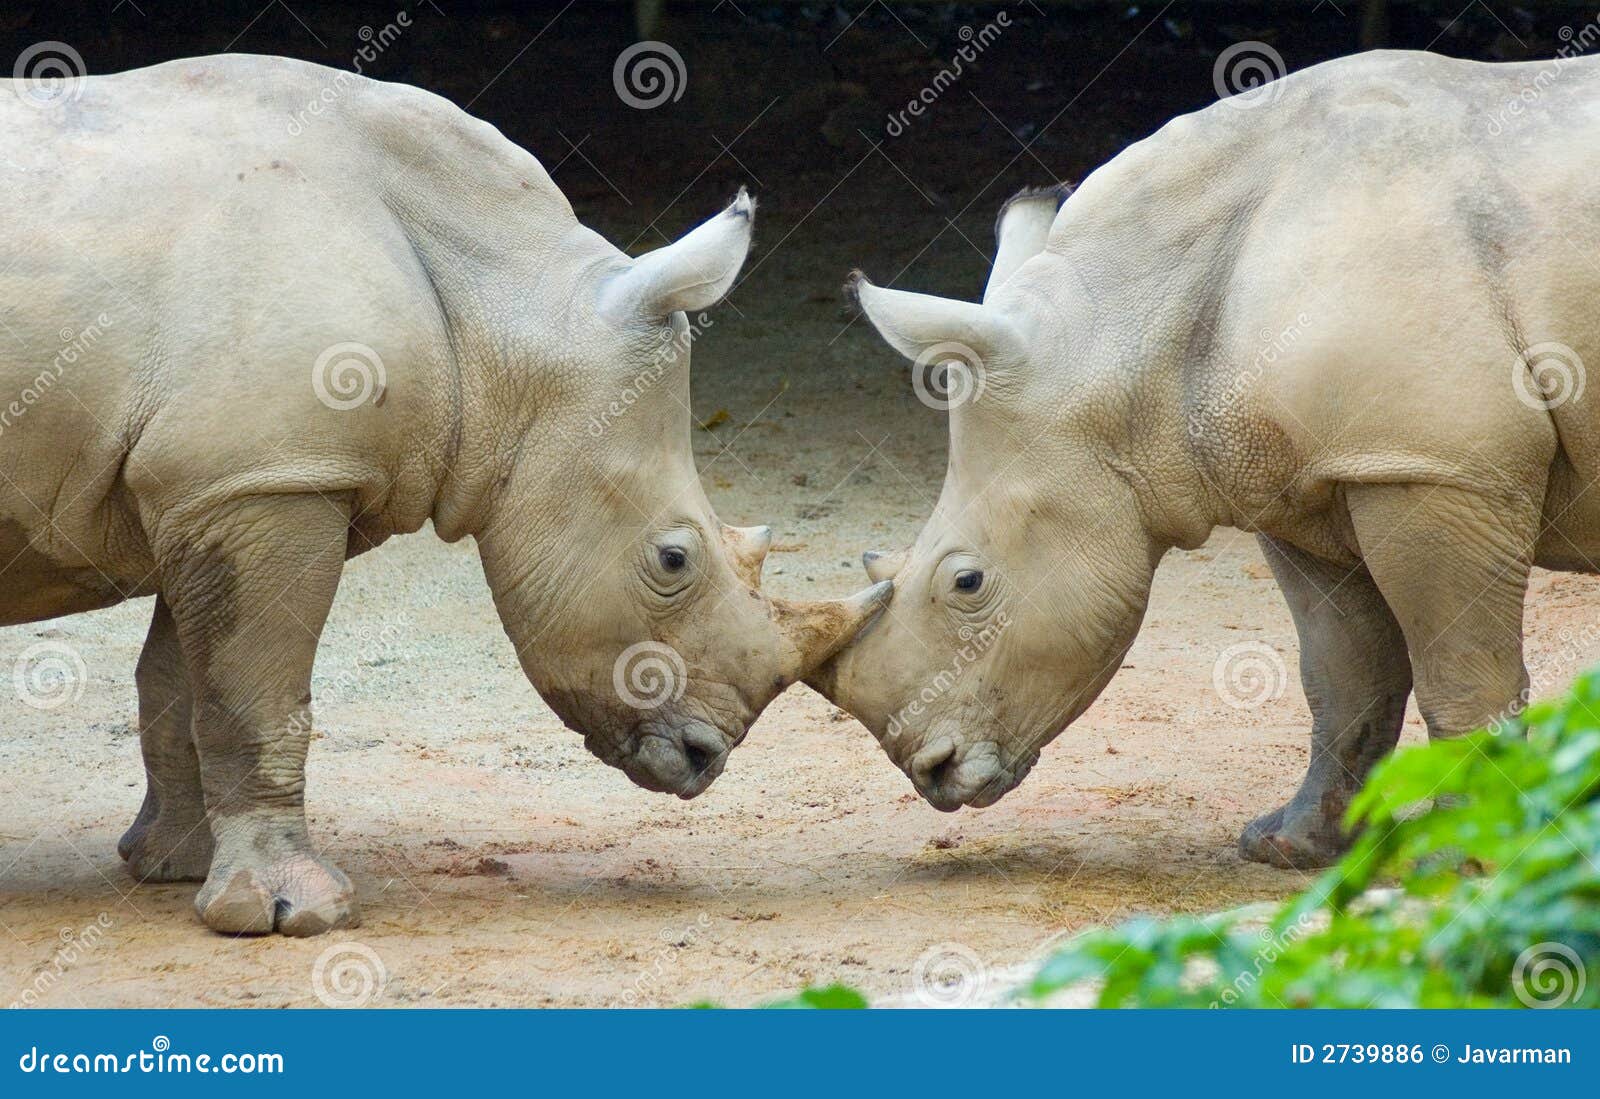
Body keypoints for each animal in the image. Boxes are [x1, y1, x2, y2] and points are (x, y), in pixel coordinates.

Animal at [0, 54, 889, 935]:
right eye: (673, 559)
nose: (708, 757)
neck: (506, 303)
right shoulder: (269, 479)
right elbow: (254, 693)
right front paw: (292, 912)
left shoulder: (216, 479)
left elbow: (182, 680)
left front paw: (173, 868)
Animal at [812, 49, 1600, 868]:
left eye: (967, 582)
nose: (930, 772)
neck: (1120, 336)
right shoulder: (1314, 476)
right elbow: (1344, 673)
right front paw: (1290, 847)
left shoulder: (1435, 467)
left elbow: (1463, 678)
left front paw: (1463, 861)